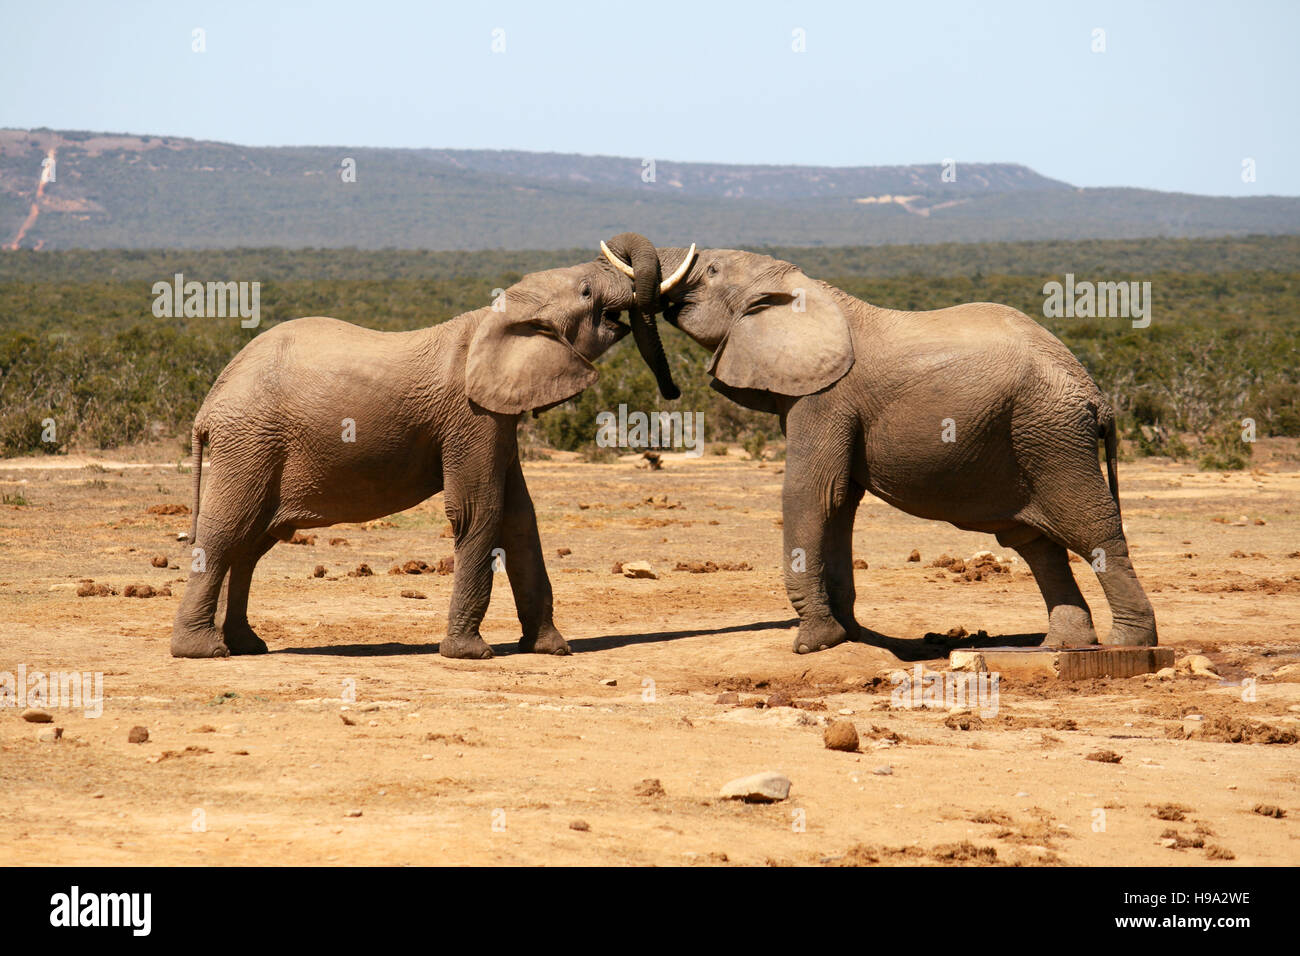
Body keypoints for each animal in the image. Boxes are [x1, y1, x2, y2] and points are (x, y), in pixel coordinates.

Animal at [172, 232, 693, 660]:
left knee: (251, 543)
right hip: (250, 442)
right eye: (586, 292)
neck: (500, 314)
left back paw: (248, 645)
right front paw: (471, 654)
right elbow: (480, 510)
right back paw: (203, 651)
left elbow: (521, 517)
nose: (674, 391)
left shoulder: (497, 416)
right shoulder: (471, 416)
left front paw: (552, 649)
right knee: (227, 532)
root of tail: (208, 404)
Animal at [599, 242, 1158, 655]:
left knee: (1092, 529)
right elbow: (840, 502)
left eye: (711, 270)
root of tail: (1097, 396)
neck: (804, 289)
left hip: (1052, 434)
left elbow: (811, 493)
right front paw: (852, 636)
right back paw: (1059, 647)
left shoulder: (824, 397)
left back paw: (1127, 646)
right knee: (1034, 542)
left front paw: (813, 643)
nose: (670, 391)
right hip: (1029, 438)